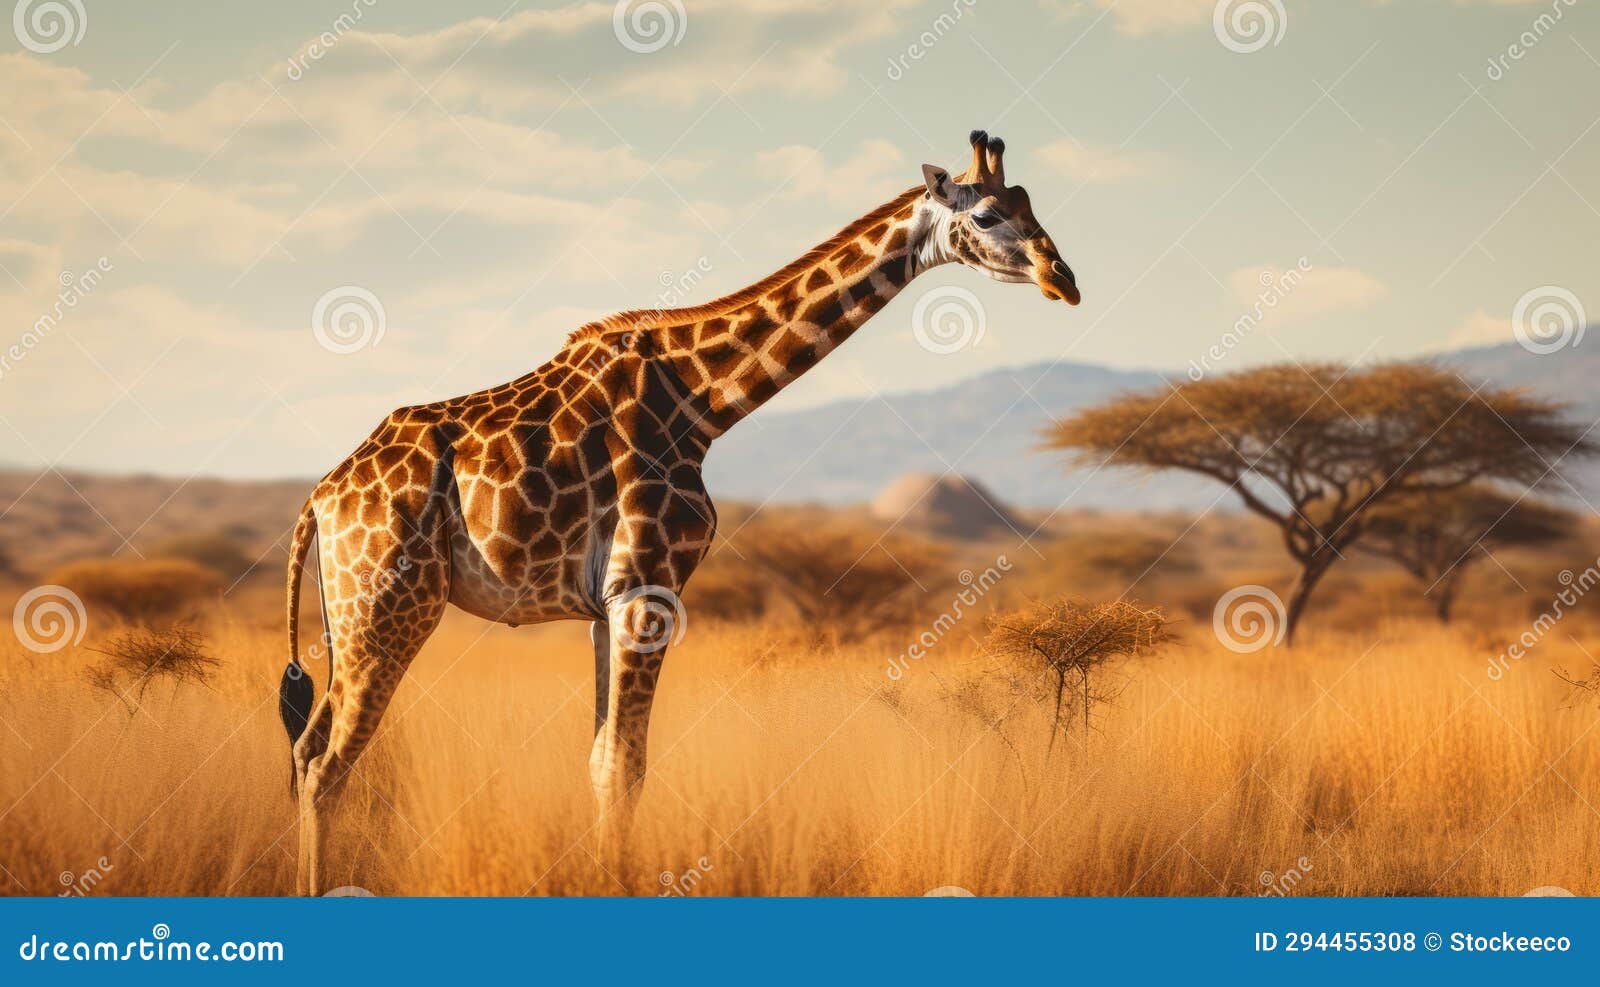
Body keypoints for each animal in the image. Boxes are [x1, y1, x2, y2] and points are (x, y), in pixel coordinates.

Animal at [278, 130, 1079, 894]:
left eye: (1032, 202)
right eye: (986, 215)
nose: (1063, 279)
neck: (704, 401)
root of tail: (321, 499)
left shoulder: (611, 604)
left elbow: (602, 761)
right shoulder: (648, 587)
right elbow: (624, 769)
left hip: (347, 615)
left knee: (306, 747)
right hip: (389, 605)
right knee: (328, 764)